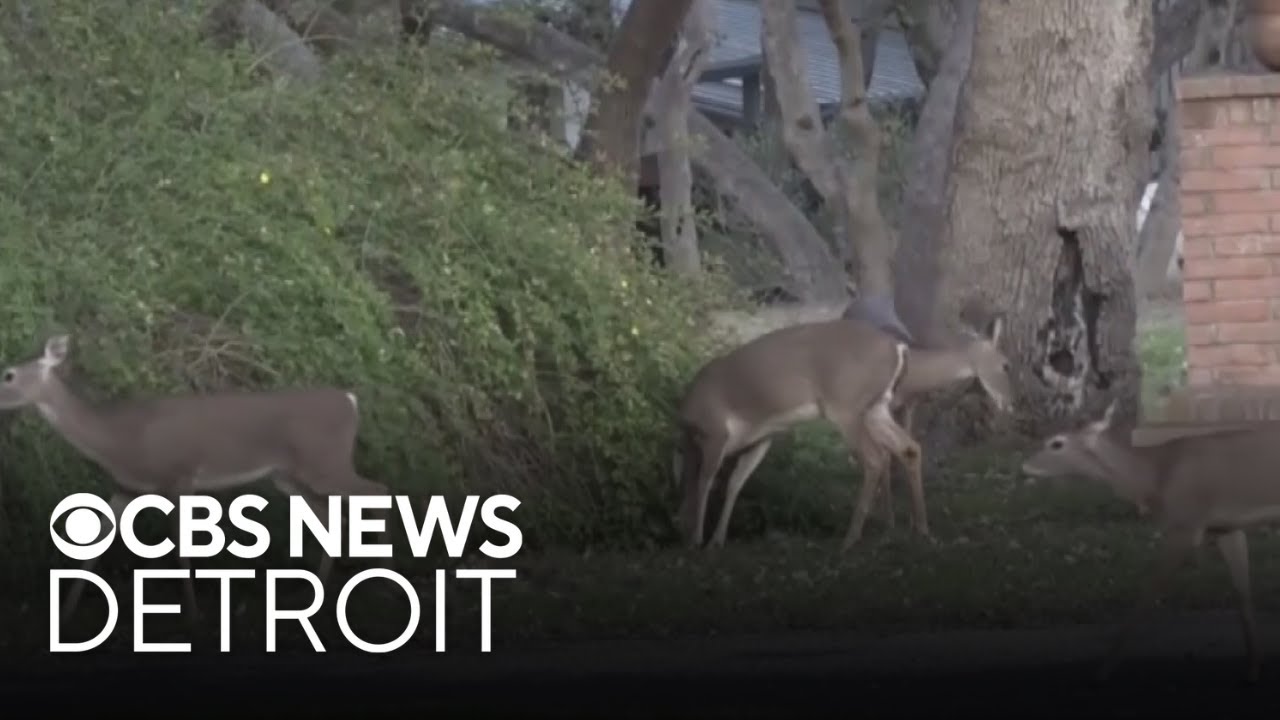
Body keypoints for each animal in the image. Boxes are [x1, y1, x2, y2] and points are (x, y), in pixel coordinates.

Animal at [0, 334, 394, 625]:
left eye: (8, 375)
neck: (119, 439)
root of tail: (350, 400)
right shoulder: (126, 488)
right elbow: (95, 545)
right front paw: (65, 614)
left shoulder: (180, 477)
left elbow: (181, 550)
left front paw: (194, 616)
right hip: (292, 477)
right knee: (334, 518)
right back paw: (317, 600)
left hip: (326, 464)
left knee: (379, 493)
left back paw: (385, 588)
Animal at [674, 316, 920, 551]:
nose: (681, 531)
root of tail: (897, 347)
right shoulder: (760, 438)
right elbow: (735, 484)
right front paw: (716, 541)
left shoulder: (715, 432)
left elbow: (704, 482)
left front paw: (697, 540)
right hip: (876, 406)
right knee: (908, 448)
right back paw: (913, 530)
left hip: (845, 406)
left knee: (875, 458)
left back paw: (850, 540)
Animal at [1021, 399, 1280, 684]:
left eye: (1056, 443)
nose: (1025, 465)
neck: (1155, 475)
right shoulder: (1226, 528)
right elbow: (1242, 595)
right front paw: (1253, 669)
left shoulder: (1185, 525)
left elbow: (1147, 597)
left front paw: (1103, 671)